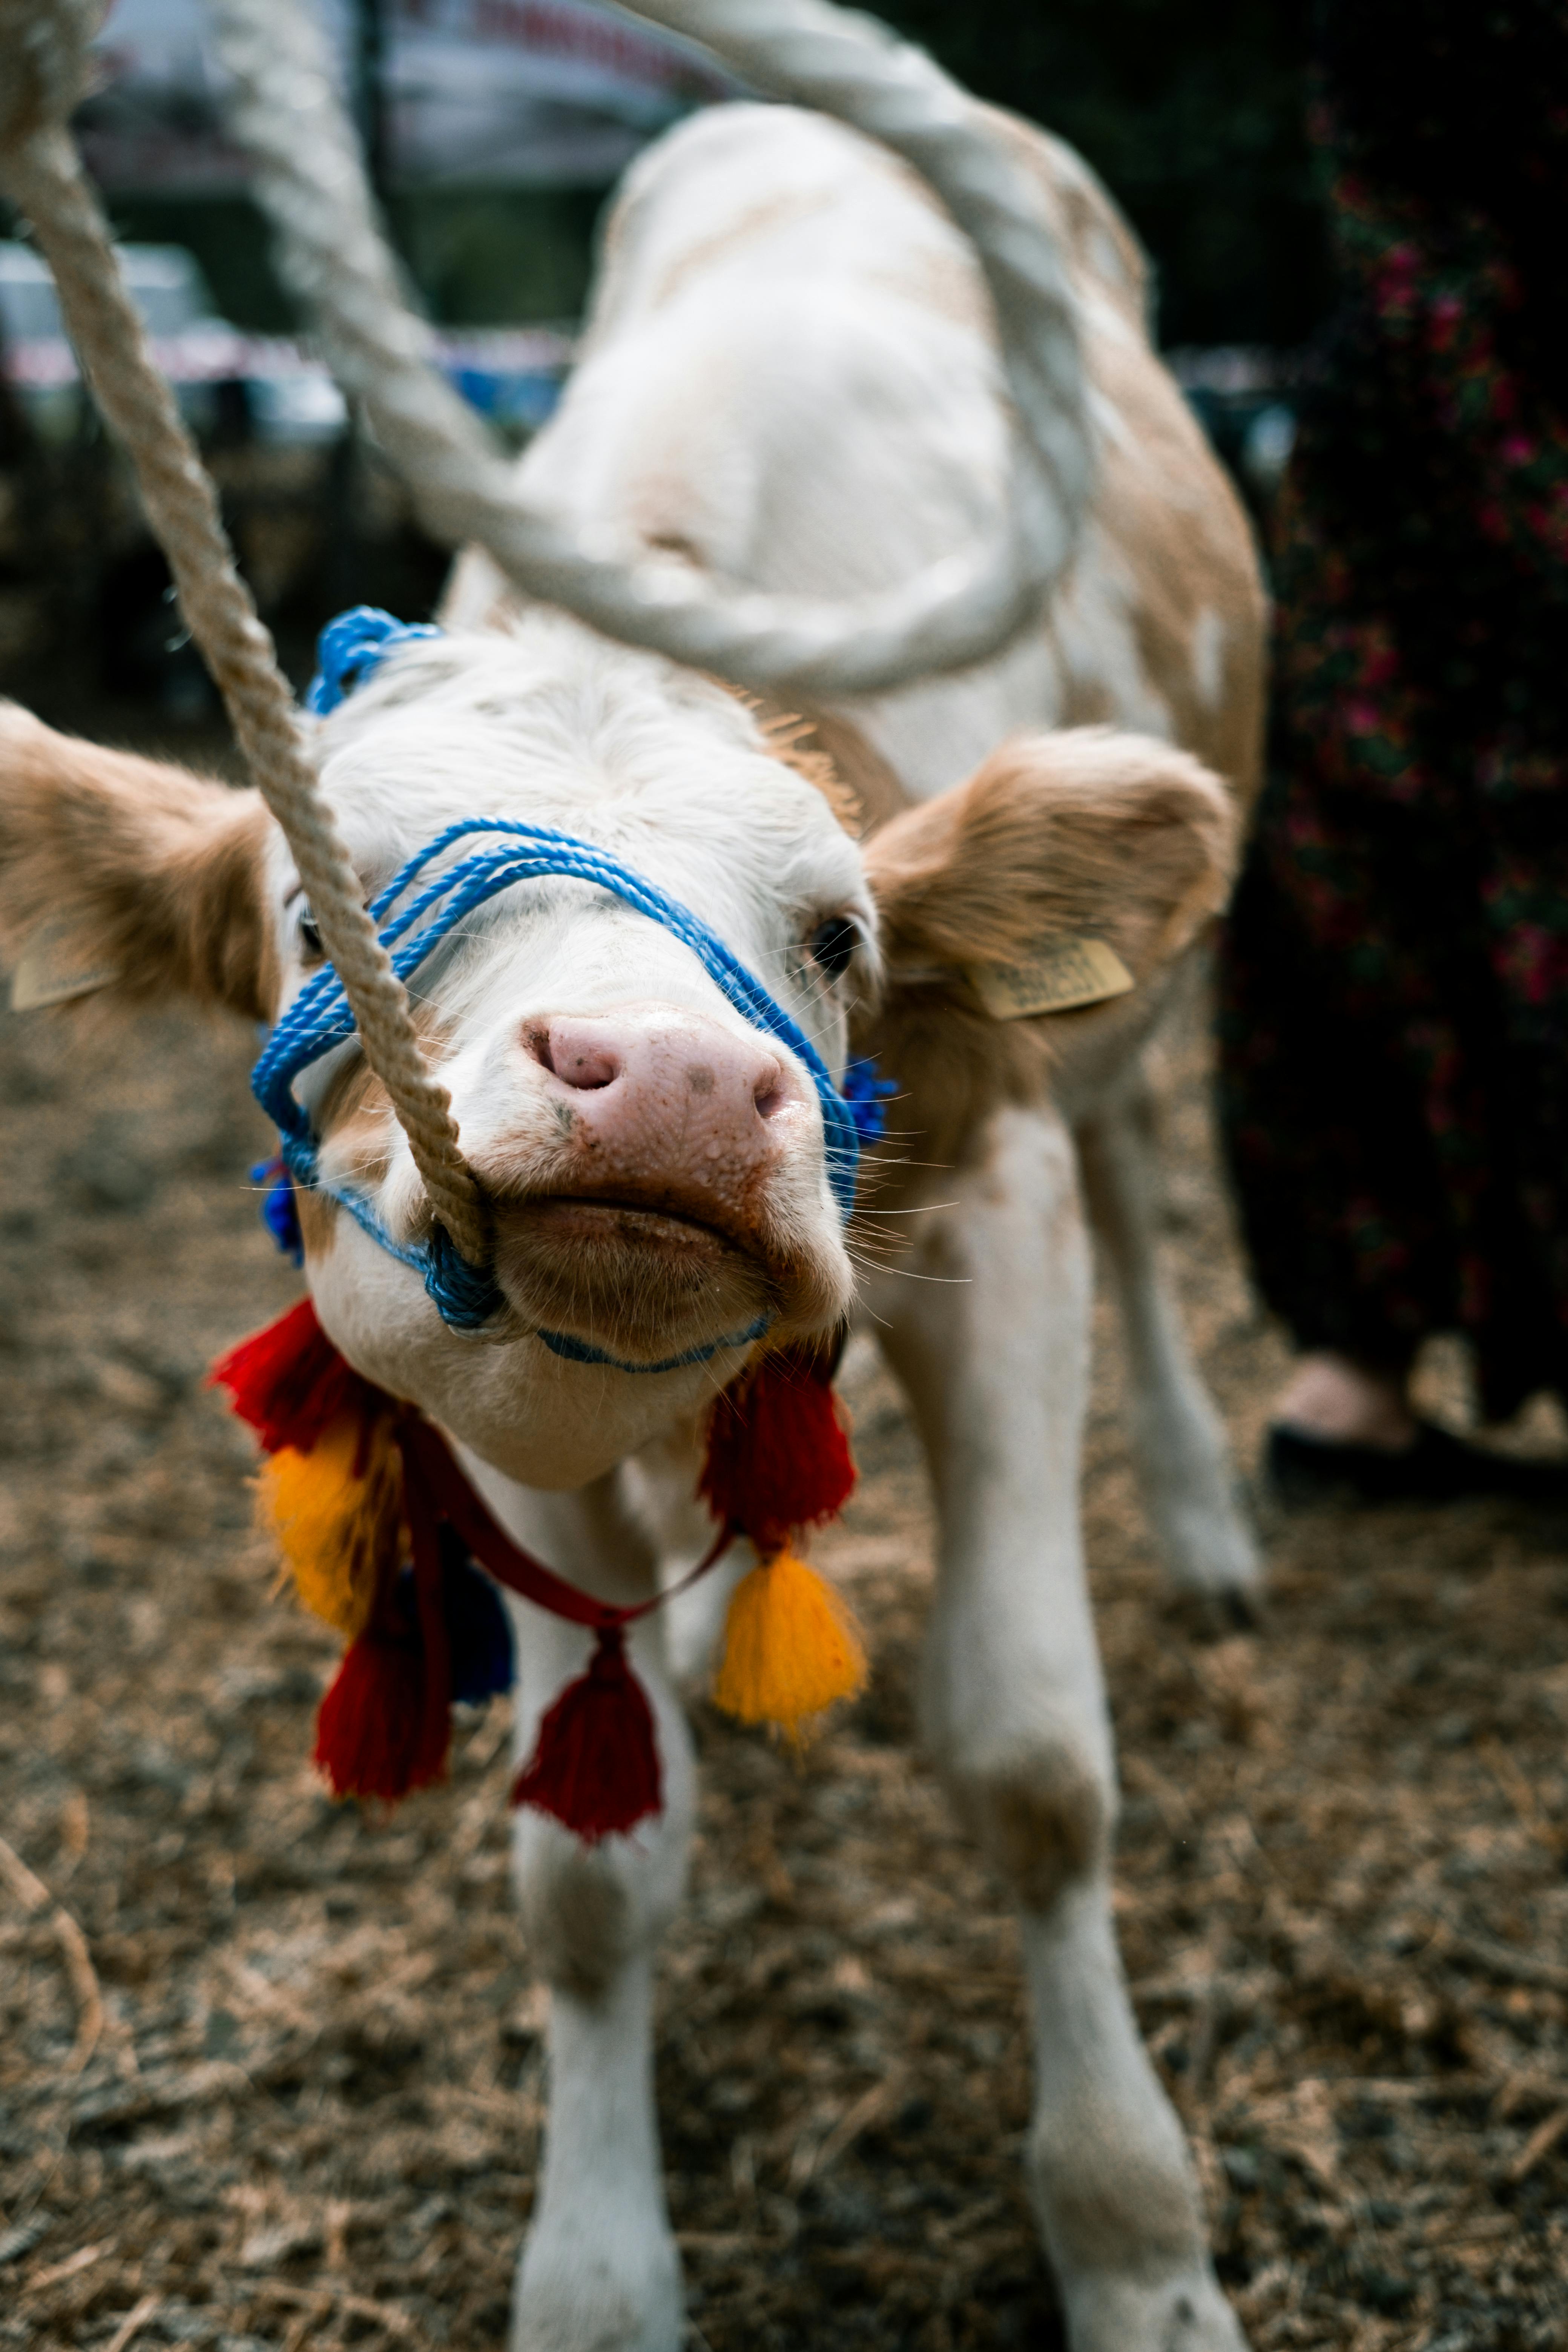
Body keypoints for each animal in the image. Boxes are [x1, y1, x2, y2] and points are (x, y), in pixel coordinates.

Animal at [0, 95, 1264, 2352]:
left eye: (841, 937)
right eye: (319, 918)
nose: (666, 1083)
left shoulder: (1004, 1212)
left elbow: (1036, 1761)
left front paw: (1134, 2240)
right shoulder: (489, 1399)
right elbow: (589, 1873)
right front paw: (596, 2267)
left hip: (1124, 1060)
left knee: (1140, 1195)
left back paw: (1205, 1519)